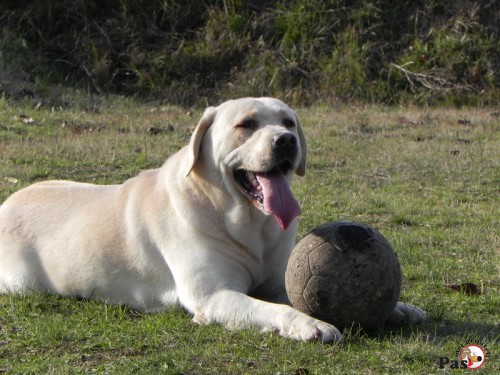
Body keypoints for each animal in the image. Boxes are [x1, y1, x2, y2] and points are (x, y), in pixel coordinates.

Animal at [0, 97, 424, 344]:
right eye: (246, 124)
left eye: (288, 121)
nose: (286, 140)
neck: (245, 220)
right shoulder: (214, 295)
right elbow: (277, 310)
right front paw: (310, 325)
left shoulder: (277, 280)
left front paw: (400, 308)